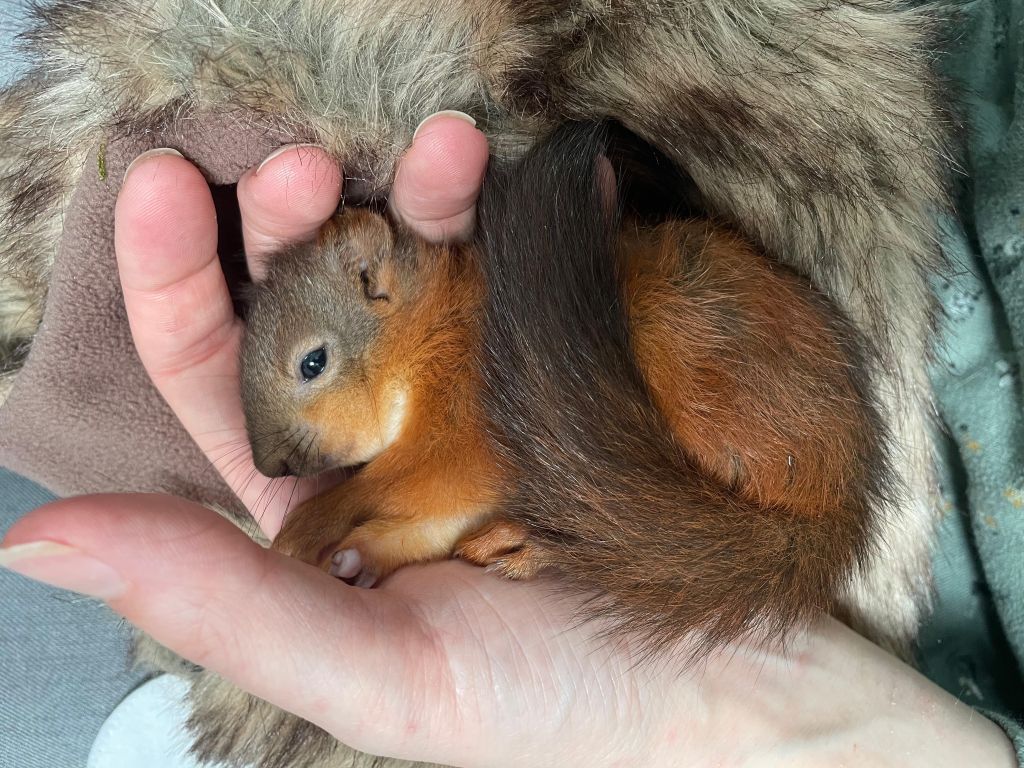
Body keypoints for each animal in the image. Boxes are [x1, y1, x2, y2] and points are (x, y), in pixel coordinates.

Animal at [241, 123, 887, 653]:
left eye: (313, 362)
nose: (270, 468)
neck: (428, 336)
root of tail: (836, 497)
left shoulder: (470, 423)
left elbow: (418, 478)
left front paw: (316, 520)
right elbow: (427, 520)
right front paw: (362, 554)